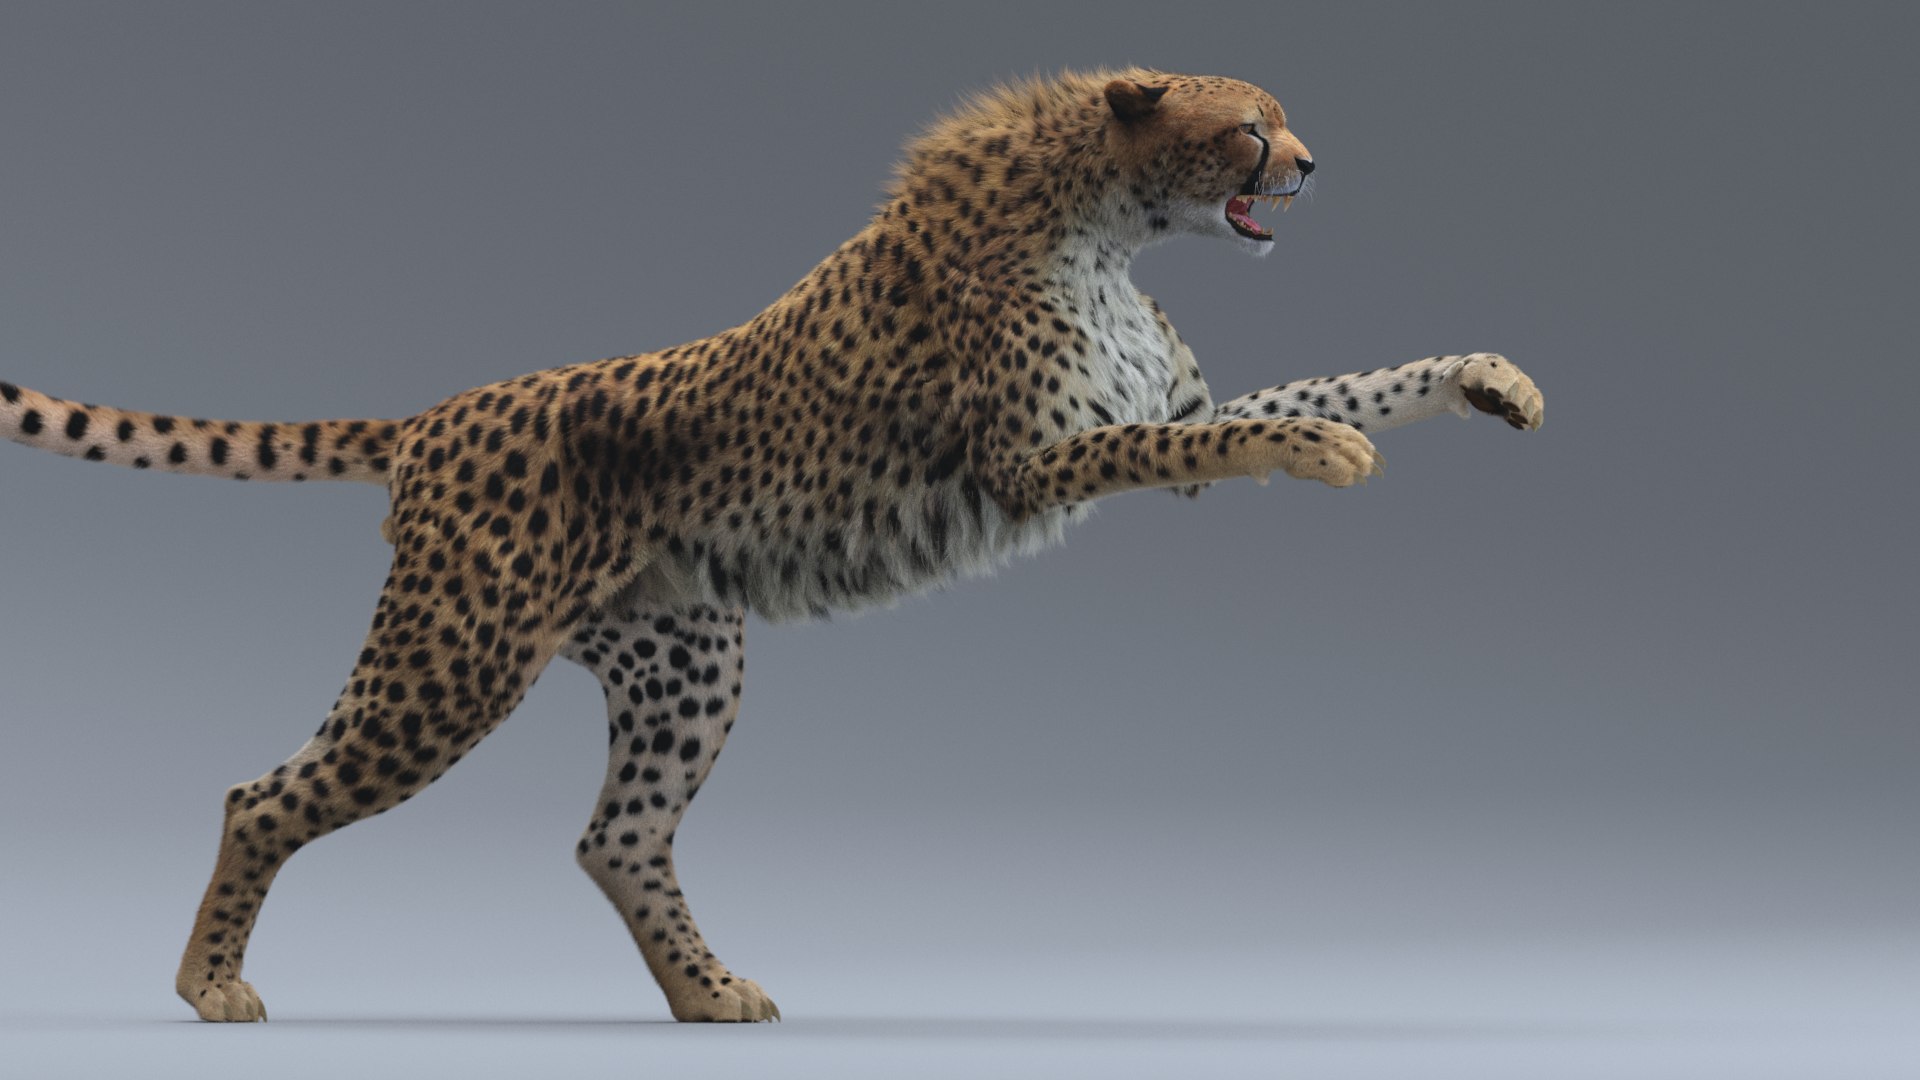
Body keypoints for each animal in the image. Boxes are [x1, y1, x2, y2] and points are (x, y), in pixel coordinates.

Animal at [0, 68, 1543, 1023]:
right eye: (1250, 128)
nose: (1313, 164)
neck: (1101, 223)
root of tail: (438, 412)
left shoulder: (1157, 410)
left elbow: (1334, 384)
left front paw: (1487, 380)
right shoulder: (1034, 464)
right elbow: (1227, 433)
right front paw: (1326, 450)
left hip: (682, 657)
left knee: (617, 838)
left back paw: (706, 995)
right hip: (456, 657)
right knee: (263, 796)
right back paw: (209, 988)